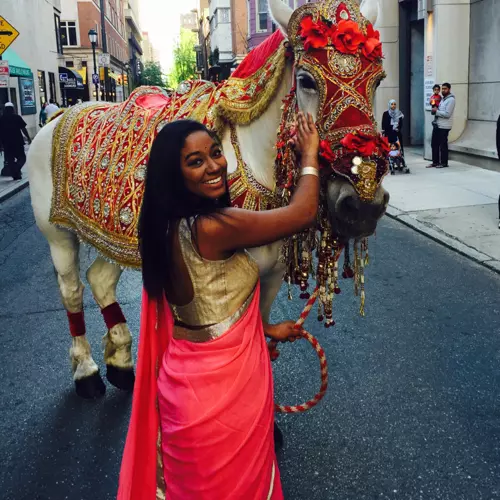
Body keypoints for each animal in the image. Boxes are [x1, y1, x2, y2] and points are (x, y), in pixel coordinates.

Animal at [26, 0, 386, 398]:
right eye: (306, 80)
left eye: (378, 80)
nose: (363, 203)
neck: (251, 164)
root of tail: (59, 114)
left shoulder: (271, 275)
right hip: (58, 236)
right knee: (72, 290)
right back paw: (87, 371)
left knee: (101, 279)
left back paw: (120, 364)